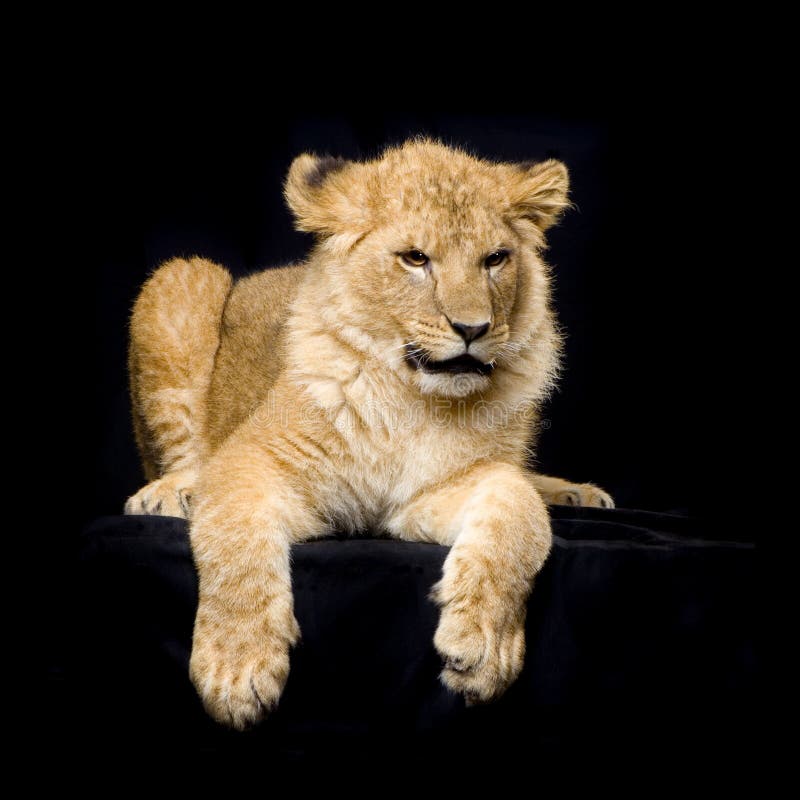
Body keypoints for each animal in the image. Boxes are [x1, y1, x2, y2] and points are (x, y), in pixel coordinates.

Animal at [124, 140, 613, 729]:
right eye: (415, 258)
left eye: (495, 259)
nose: (472, 329)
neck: (412, 398)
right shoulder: (257, 460)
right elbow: (235, 538)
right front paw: (236, 668)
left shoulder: (425, 497)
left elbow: (518, 509)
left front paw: (483, 646)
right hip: (183, 277)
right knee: (183, 456)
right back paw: (169, 493)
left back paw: (576, 493)